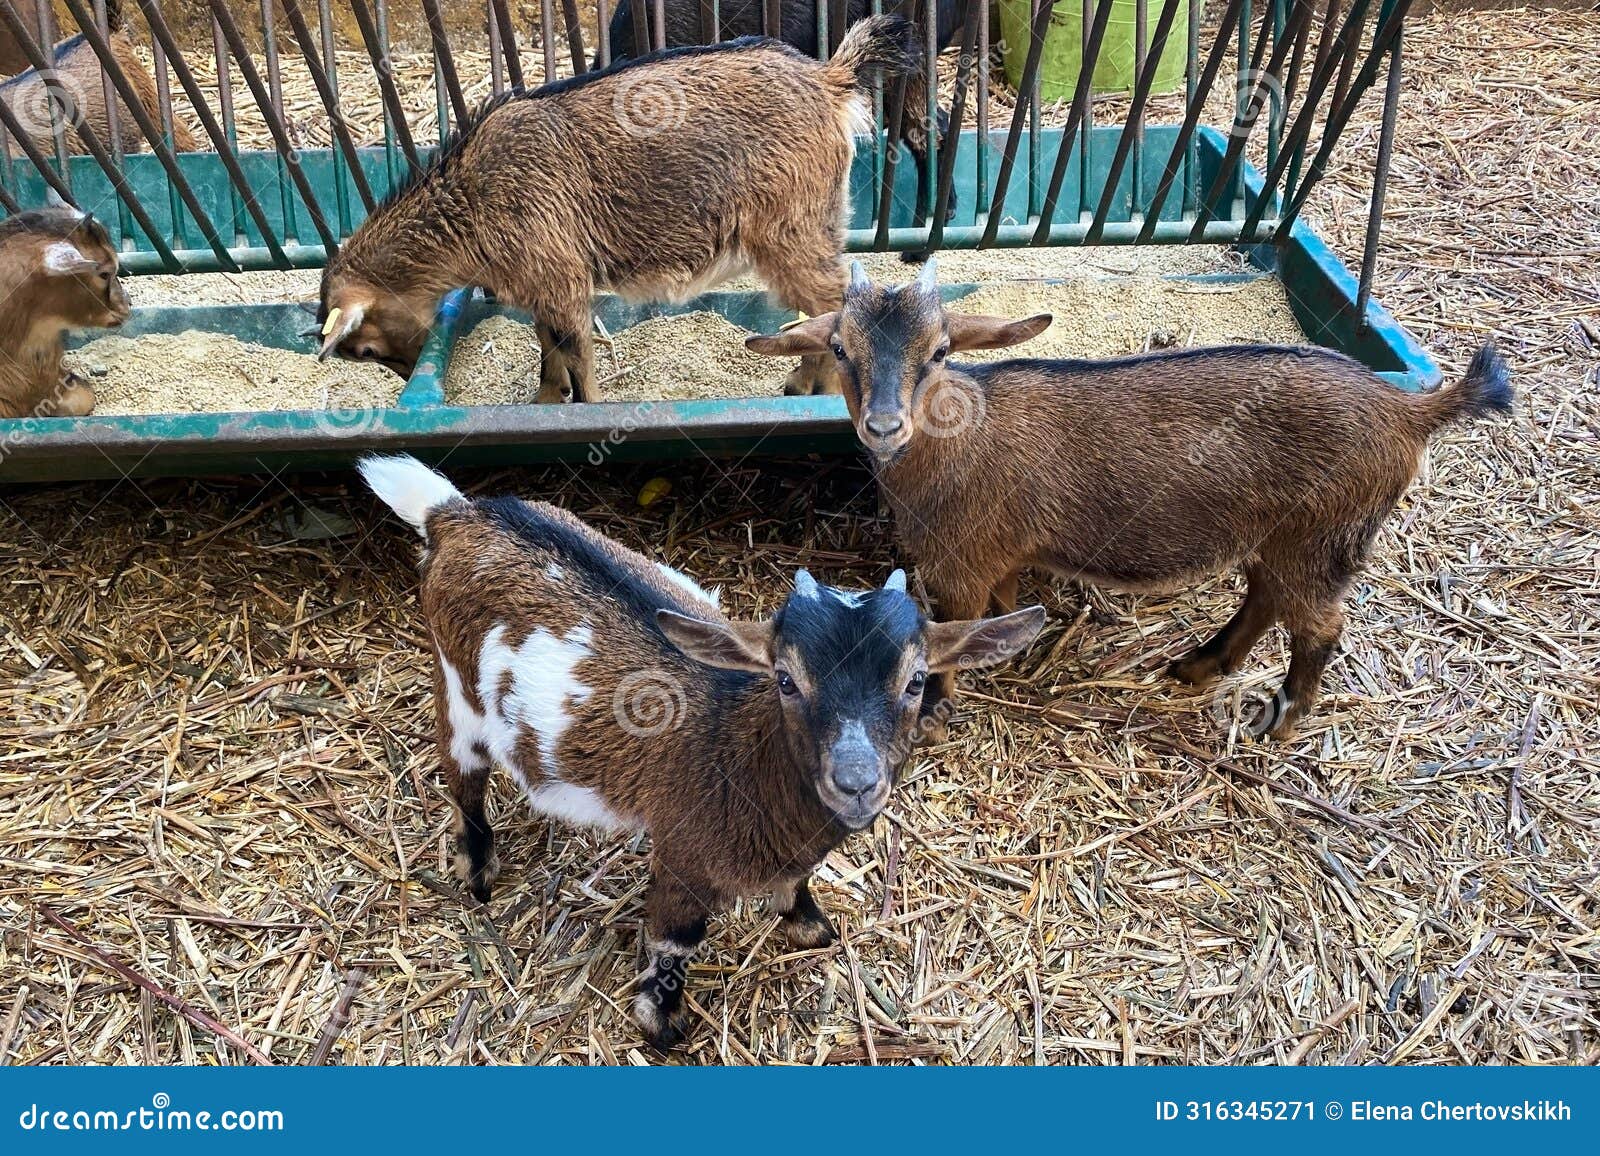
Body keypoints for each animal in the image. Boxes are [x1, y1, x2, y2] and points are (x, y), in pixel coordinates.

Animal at [318, 17, 920, 402]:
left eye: (363, 348)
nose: (407, 377)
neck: (471, 199)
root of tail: (829, 80)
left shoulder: (559, 275)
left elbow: (576, 352)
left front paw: (588, 406)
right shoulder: (539, 284)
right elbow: (548, 347)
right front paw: (544, 401)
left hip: (790, 229)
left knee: (833, 301)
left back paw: (813, 387)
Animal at [360, 453, 1044, 1048]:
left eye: (916, 680)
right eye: (786, 680)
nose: (855, 781)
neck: (738, 743)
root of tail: (456, 513)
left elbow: (797, 882)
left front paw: (808, 925)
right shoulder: (685, 854)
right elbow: (674, 939)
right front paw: (661, 1022)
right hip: (458, 690)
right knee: (463, 778)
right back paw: (477, 869)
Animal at [746, 260, 1514, 741]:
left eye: (938, 352)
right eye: (839, 349)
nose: (884, 426)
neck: (959, 435)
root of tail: (1410, 410)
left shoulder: (962, 561)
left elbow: (949, 634)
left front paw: (934, 714)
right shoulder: (1002, 558)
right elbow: (1003, 606)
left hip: (1323, 536)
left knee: (1320, 626)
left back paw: (1279, 719)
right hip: (1280, 536)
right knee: (1265, 597)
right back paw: (1198, 666)